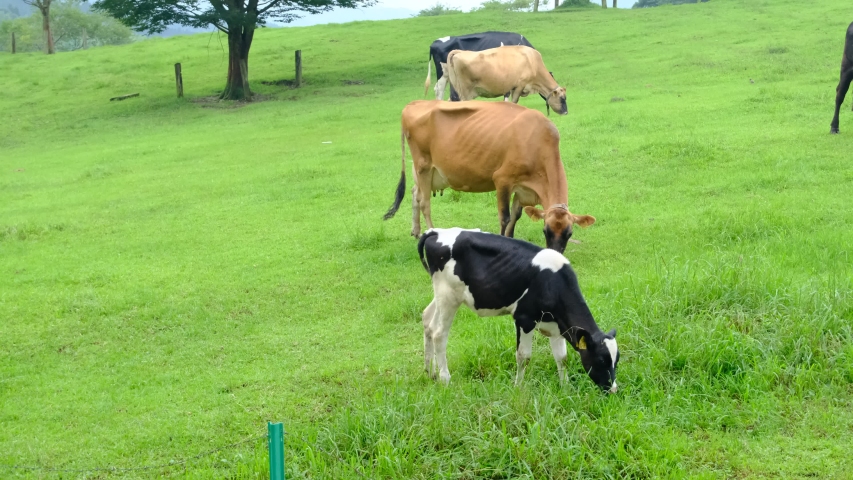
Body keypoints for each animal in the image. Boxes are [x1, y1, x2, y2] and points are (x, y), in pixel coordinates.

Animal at [383, 100, 595, 254]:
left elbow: (515, 217)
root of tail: (414, 103)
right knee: (425, 203)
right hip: (423, 166)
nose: (556, 253)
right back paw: (430, 233)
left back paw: (416, 231)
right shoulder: (502, 180)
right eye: (545, 231)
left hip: (428, 172)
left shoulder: (523, 190)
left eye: (569, 233)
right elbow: (505, 217)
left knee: (415, 194)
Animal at [418, 227, 619, 392]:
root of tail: (437, 231)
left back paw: (430, 372)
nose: (613, 389)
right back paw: (445, 379)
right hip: (448, 296)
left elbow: (562, 357)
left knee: (428, 320)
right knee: (439, 334)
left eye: (616, 360)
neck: (553, 283)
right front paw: (519, 387)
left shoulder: (556, 326)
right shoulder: (524, 319)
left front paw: (565, 388)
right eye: (601, 360)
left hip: (442, 294)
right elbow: (524, 356)